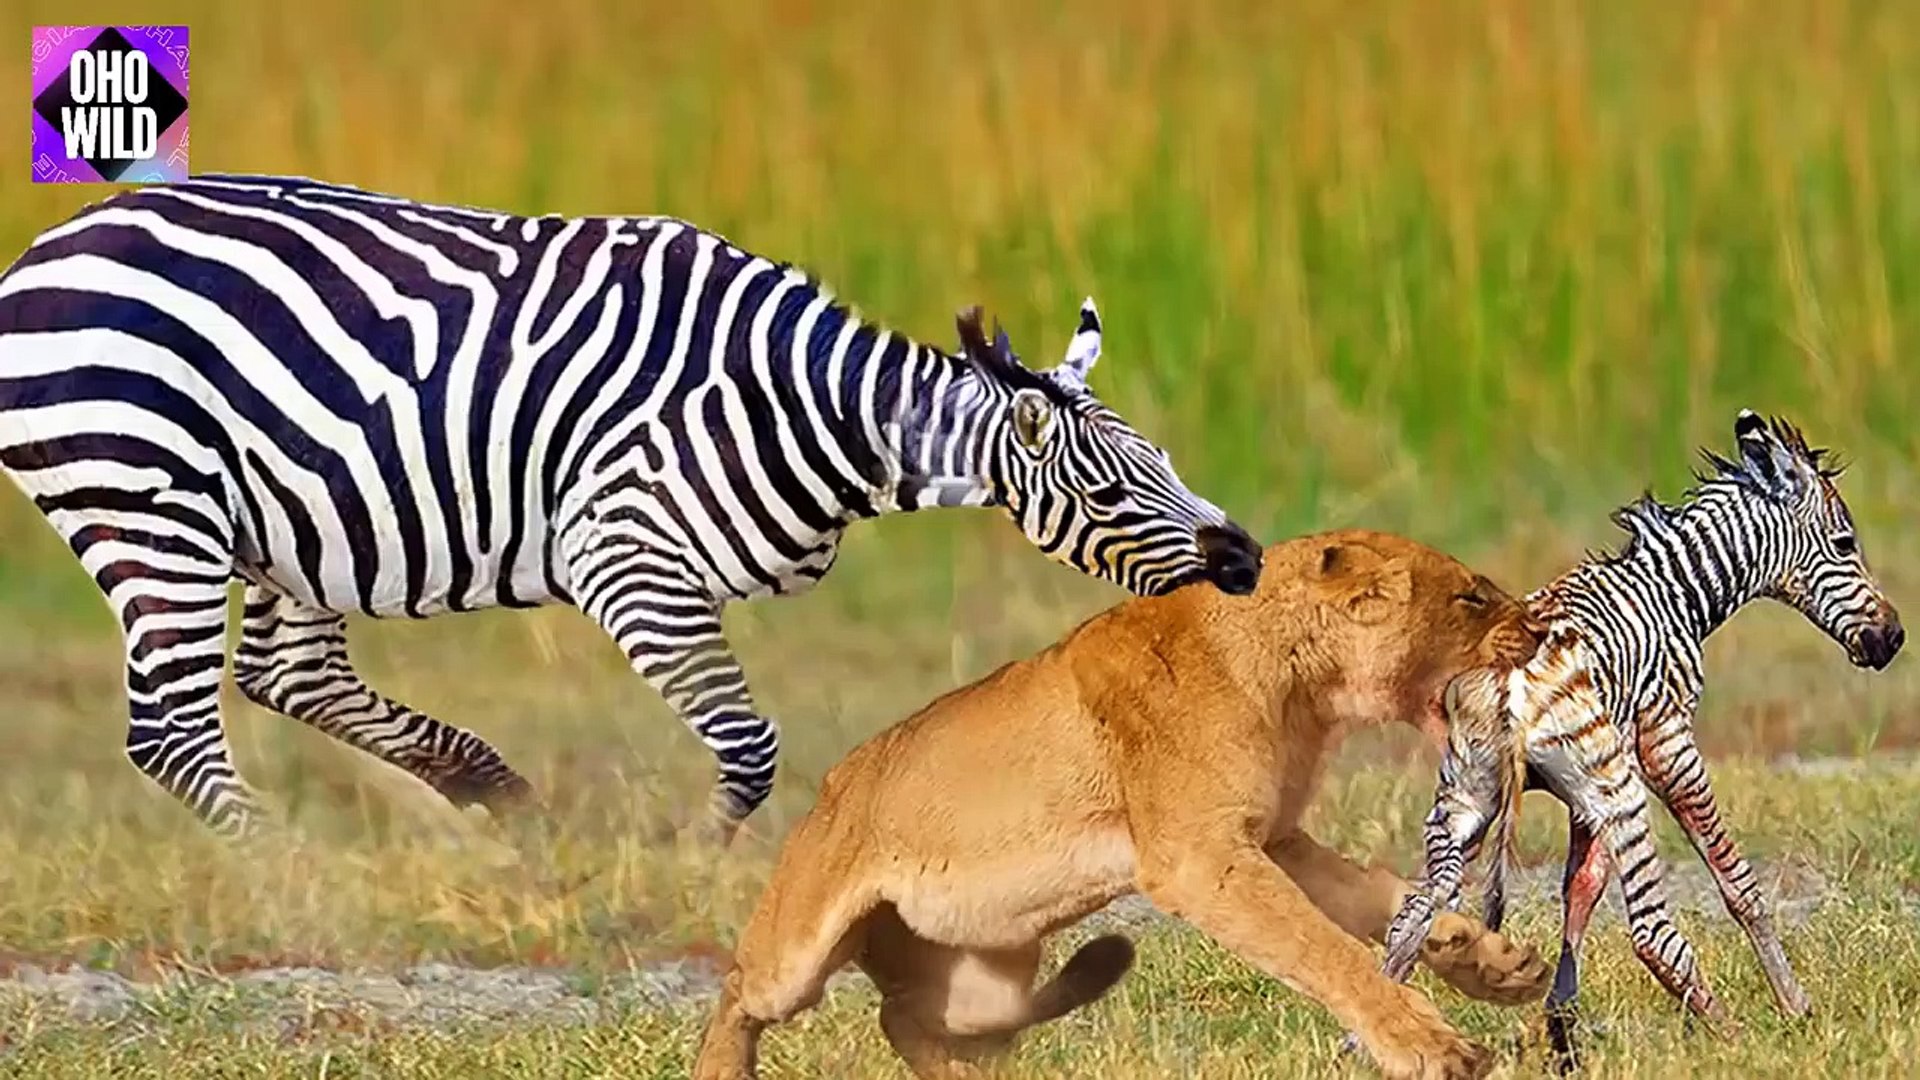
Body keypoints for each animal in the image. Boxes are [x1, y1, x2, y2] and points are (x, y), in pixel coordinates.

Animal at [0, 173, 1264, 846]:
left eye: (1164, 460)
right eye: (1107, 489)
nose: (1245, 560)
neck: (810, 409)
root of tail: (49, 247)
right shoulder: (625, 555)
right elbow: (748, 743)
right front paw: (700, 857)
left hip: (283, 519)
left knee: (283, 676)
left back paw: (498, 798)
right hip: (146, 494)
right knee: (173, 727)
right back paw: (286, 863)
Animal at [692, 529, 1554, 1080]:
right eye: (1472, 598)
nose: (1543, 627)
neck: (1303, 692)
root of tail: (834, 786)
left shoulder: (1273, 838)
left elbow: (1376, 894)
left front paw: (1491, 962)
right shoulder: (1201, 858)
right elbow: (1324, 948)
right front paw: (1430, 1045)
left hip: (985, 975)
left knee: (900, 1016)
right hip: (800, 948)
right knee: (743, 988)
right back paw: (722, 1068)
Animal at [1376, 410, 1903, 1070]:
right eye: (1844, 545)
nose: (1893, 639)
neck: (1678, 593)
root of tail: (1510, 686)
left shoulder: (1595, 782)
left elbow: (1580, 891)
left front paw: (1563, 1035)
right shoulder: (1666, 744)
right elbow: (1737, 884)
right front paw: (1796, 1009)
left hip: (1469, 794)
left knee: (1414, 913)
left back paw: (1365, 1038)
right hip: (1617, 792)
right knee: (1652, 934)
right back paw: (1732, 1039)